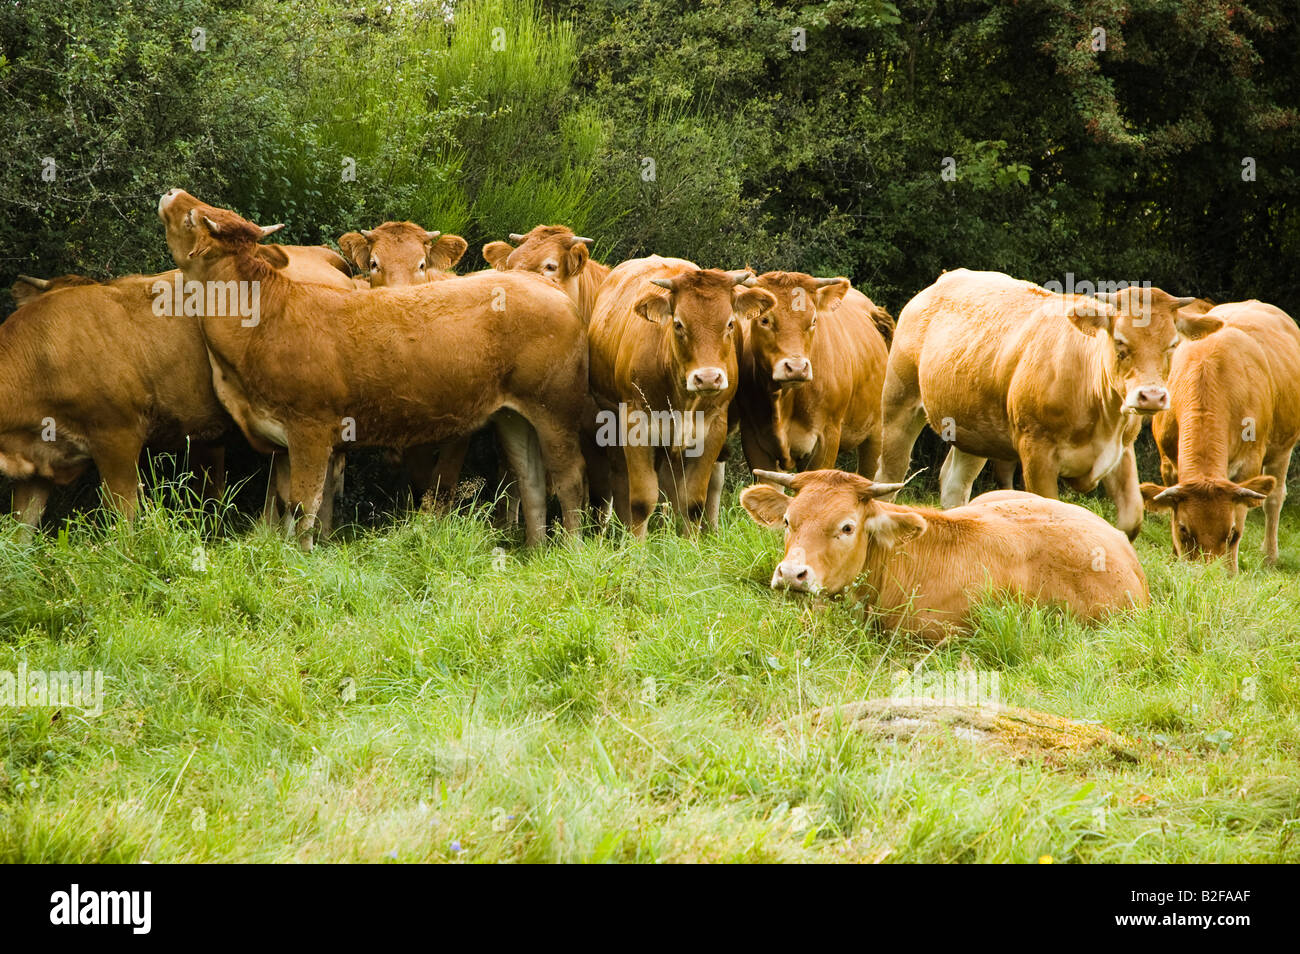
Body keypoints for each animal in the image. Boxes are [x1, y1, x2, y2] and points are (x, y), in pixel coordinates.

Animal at [157, 188, 587, 550]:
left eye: (192, 217)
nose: (173, 192)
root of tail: (539, 283)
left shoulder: (310, 431)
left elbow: (304, 504)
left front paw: (301, 558)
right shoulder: (282, 439)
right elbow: (283, 503)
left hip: (556, 410)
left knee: (568, 477)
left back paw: (571, 550)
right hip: (515, 417)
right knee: (530, 480)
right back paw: (535, 550)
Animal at [587, 256, 774, 538]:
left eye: (730, 323)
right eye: (678, 324)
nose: (707, 378)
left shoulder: (713, 429)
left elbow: (693, 502)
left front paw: (690, 543)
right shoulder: (635, 424)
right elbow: (641, 500)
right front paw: (636, 546)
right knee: (621, 480)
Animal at [735, 272, 891, 481]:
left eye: (813, 320)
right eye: (765, 320)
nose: (796, 368)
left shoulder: (827, 438)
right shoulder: (754, 440)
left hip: (876, 433)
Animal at [877, 269, 1223, 539]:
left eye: (1173, 345)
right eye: (1120, 342)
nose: (1151, 396)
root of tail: (946, 278)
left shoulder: (1121, 451)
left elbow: (1130, 522)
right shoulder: (1037, 451)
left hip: (973, 429)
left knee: (954, 484)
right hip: (899, 404)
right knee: (889, 476)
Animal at [1140, 300, 1300, 571]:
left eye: (1232, 533)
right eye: (1183, 530)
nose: (1208, 574)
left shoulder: (1249, 464)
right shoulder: (1167, 463)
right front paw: (1174, 558)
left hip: (1283, 448)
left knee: (1274, 499)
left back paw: (1270, 556)